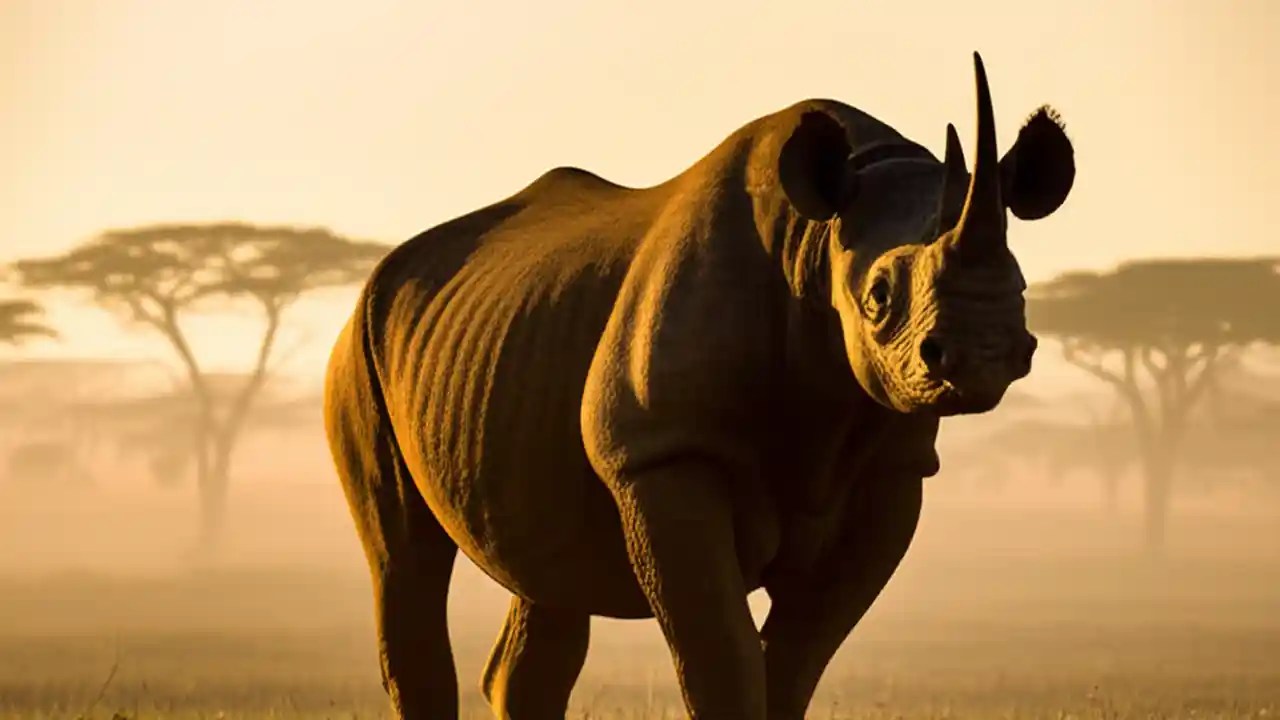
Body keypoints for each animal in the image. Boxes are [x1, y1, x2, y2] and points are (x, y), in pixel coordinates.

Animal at [324, 52, 1075, 720]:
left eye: (1021, 283)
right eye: (879, 296)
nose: (982, 354)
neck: (817, 238)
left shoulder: (894, 469)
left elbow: (793, 665)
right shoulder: (660, 449)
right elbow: (722, 659)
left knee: (545, 579)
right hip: (358, 350)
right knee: (402, 562)